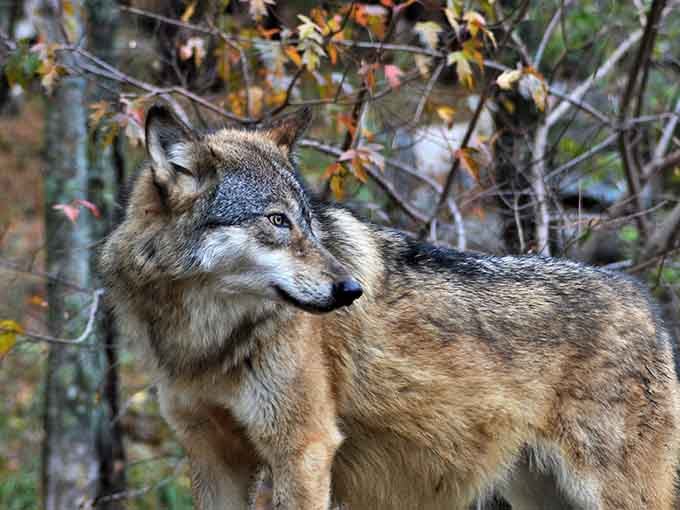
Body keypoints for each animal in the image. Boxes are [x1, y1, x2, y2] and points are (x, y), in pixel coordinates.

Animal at [99, 104, 680, 510]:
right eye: (277, 221)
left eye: (307, 221)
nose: (349, 290)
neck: (206, 340)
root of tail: (646, 305)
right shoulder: (213, 458)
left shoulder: (304, 450)